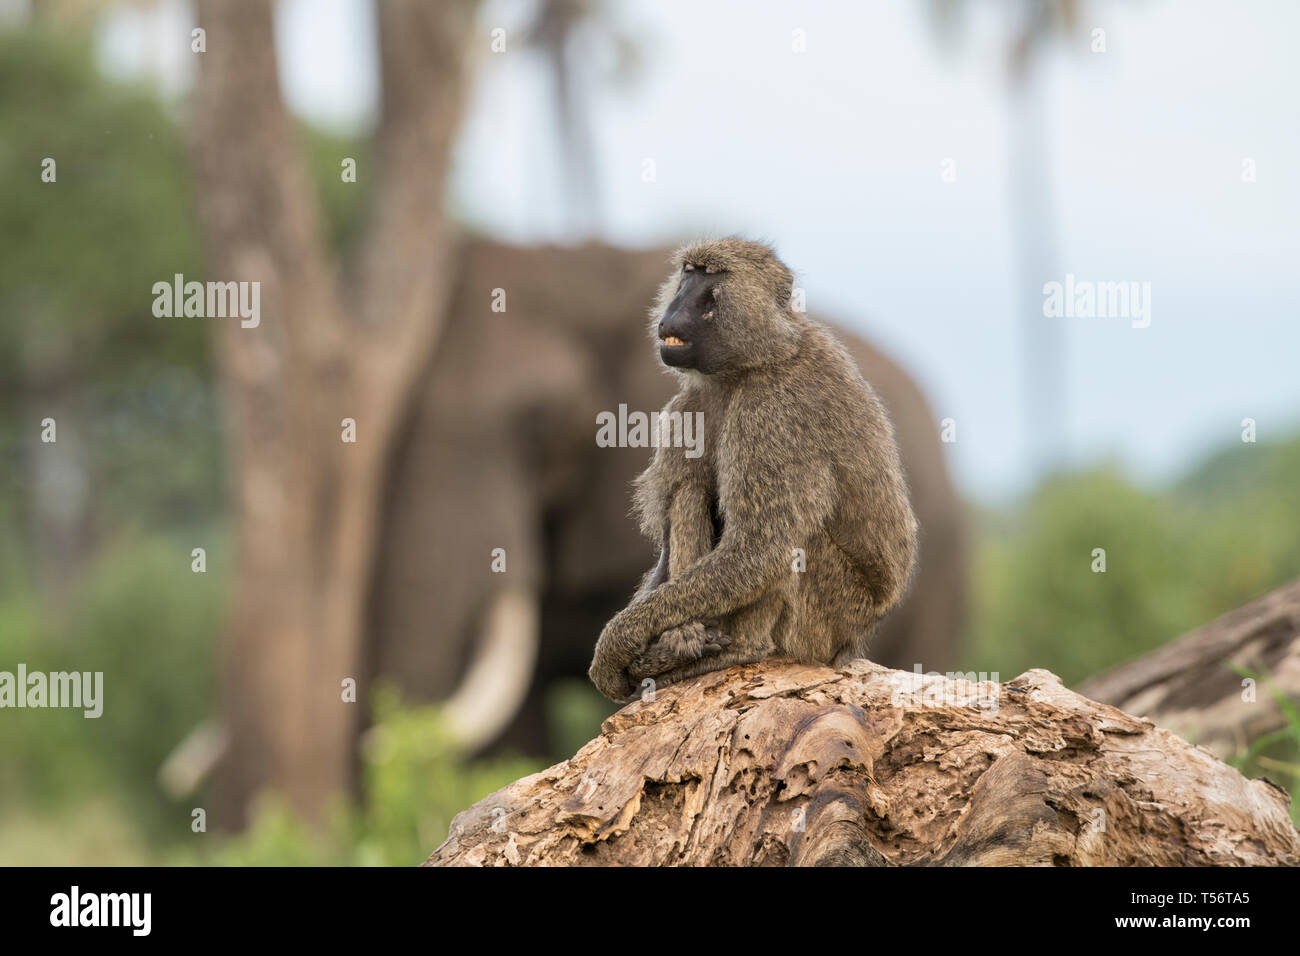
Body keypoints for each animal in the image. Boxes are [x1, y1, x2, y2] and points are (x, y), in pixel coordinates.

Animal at [587, 238, 919, 702]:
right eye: (688, 272)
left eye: (712, 278)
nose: (672, 312)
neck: (752, 361)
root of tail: (850, 647)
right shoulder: (688, 407)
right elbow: (673, 544)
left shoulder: (774, 411)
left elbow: (759, 548)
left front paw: (616, 644)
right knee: (690, 491)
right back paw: (683, 641)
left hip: (828, 620)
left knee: (791, 544)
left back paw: (741, 649)